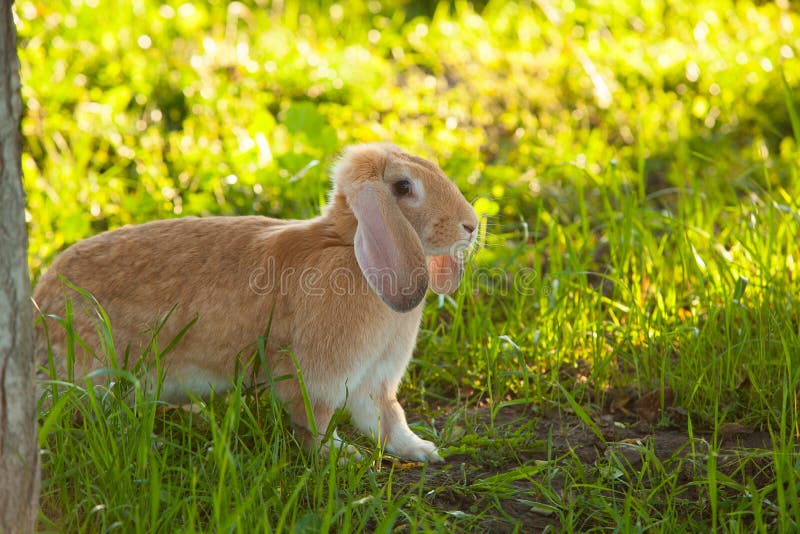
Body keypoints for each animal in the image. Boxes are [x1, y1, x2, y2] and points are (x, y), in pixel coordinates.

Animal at [33, 142, 479, 462]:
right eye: (404, 188)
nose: (472, 226)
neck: (348, 248)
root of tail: (41, 305)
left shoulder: (377, 379)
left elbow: (388, 417)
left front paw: (421, 451)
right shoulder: (318, 377)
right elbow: (313, 422)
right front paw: (342, 456)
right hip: (99, 373)